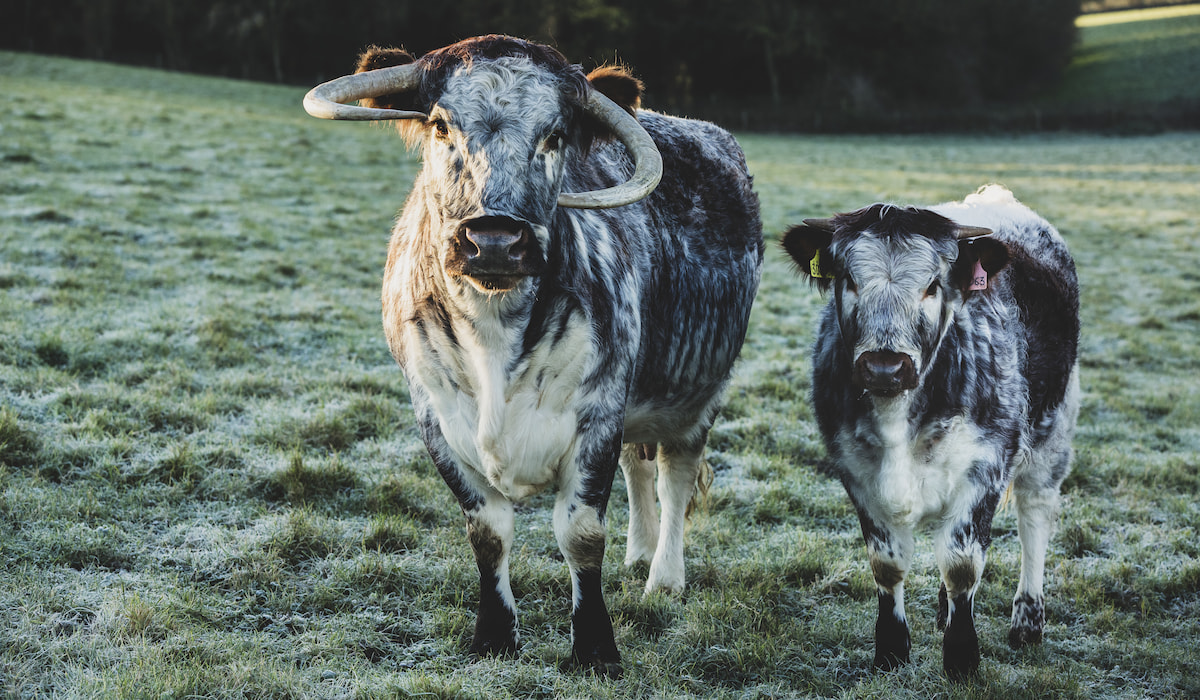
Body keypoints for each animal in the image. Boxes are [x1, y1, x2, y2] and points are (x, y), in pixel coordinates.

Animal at [303, 35, 763, 675]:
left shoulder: (598, 414)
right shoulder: (437, 420)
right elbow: (488, 532)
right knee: (639, 467)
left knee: (675, 476)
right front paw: (494, 636)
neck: (495, 334)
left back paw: (664, 577)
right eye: (441, 125)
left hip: (698, 394)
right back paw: (639, 554)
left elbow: (581, 534)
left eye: (555, 134)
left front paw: (595, 647)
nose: (494, 241)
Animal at [780, 185, 1079, 678]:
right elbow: (887, 564)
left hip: (1053, 433)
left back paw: (1027, 623)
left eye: (932, 285)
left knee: (1034, 515)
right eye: (850, 280)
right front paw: (891, 650)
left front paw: (961, 658)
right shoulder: (855, 472)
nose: (885, 366)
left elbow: (962, 565)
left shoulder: (985, 467)